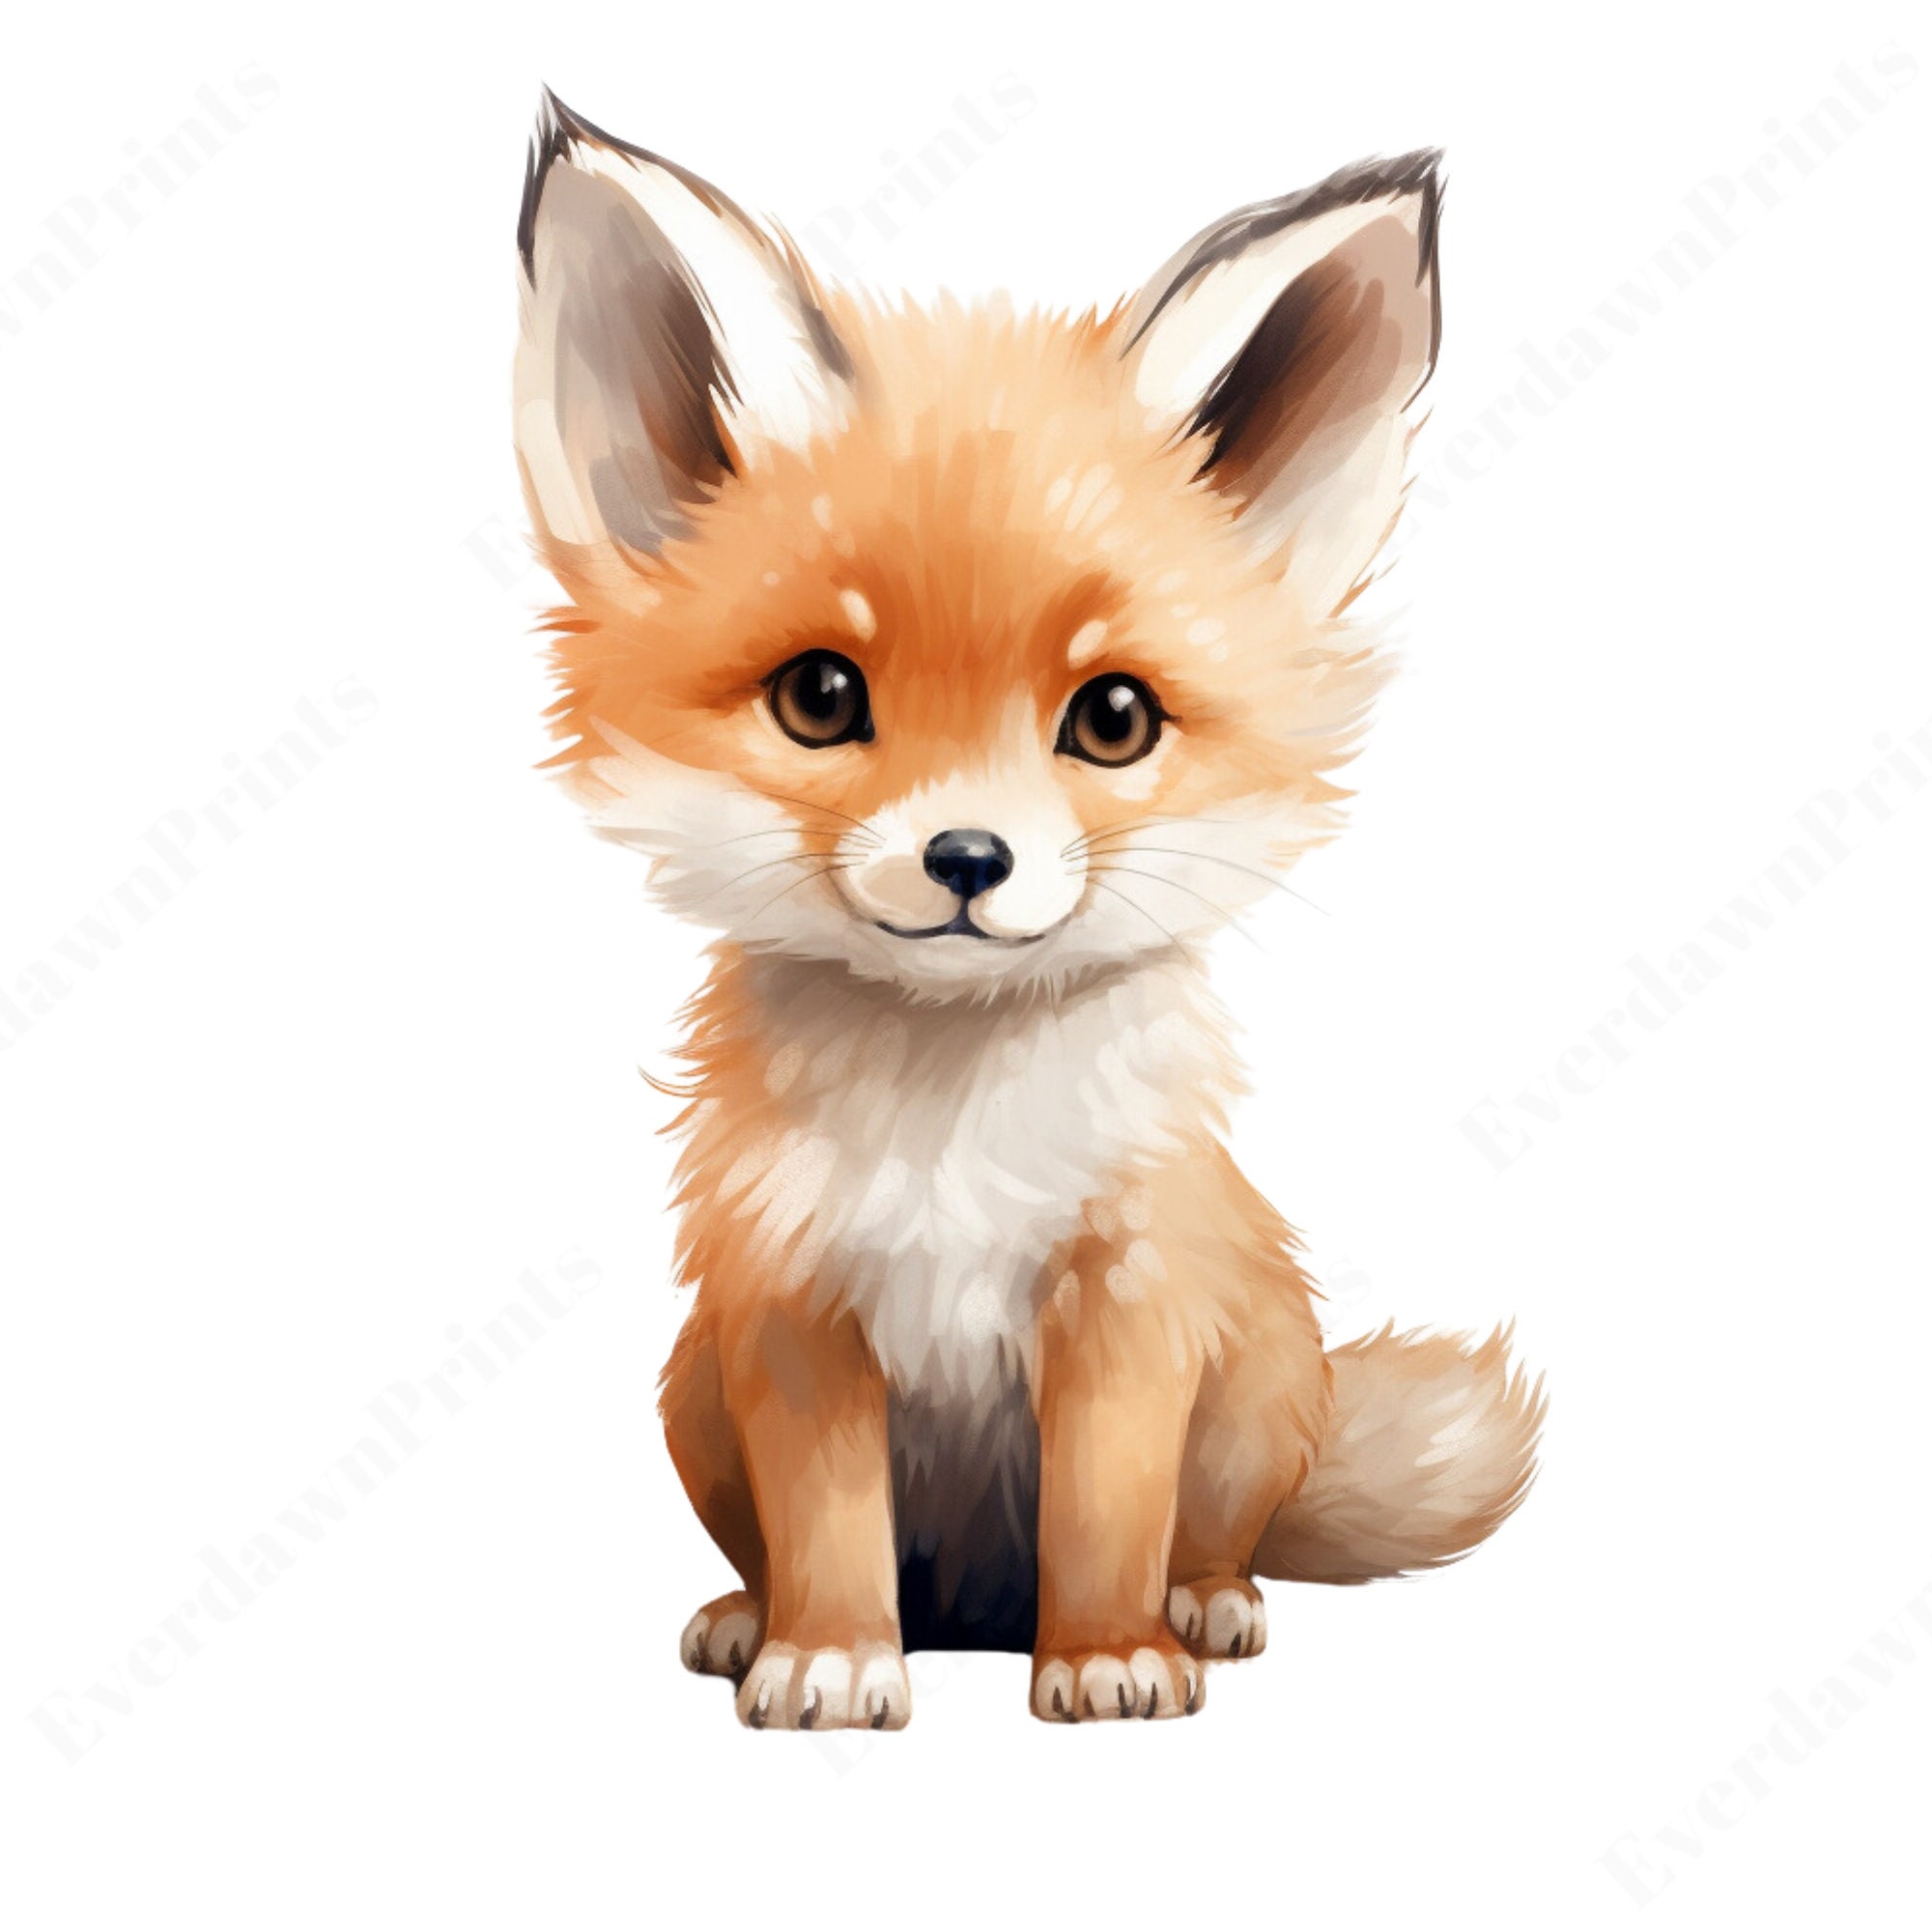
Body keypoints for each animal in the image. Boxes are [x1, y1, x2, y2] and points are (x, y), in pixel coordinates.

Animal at [511, 92, 1545, 1729]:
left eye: (1112, 718)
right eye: (821, 697)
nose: (967, 858)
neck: (949, 1145)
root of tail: (981, 1607)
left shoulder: (1125, 1303)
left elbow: (1109, 1513)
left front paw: (1113, 1654)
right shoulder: (792, 1309)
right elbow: (828, 1528)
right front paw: (828, 1654)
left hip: (1256, 1372)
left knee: (1216, 1530)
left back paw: (1204, 1607)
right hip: (691, 1391)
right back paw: (754, 1616)